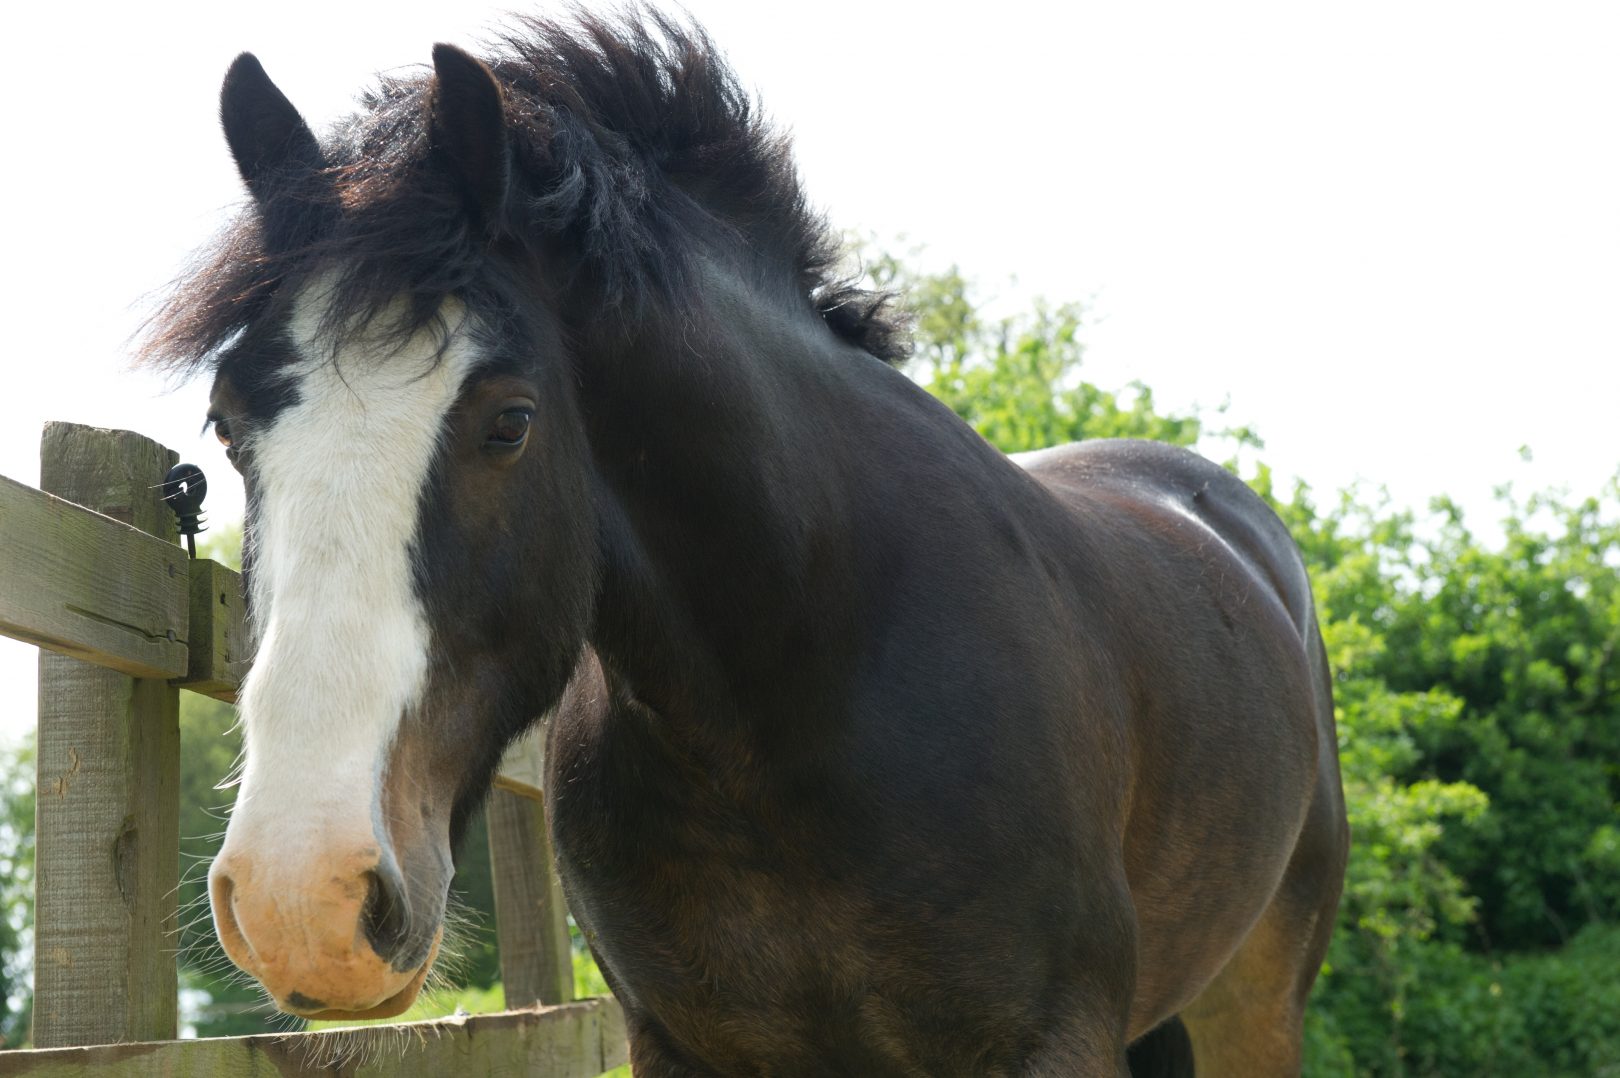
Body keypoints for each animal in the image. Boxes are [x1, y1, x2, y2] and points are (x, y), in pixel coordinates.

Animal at [143, 14, 1348, 1075]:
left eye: (509, 421)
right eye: (227, 423)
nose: (302, 897)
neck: (790, 702)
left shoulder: (1051, 1041)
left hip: (1258, 1004)